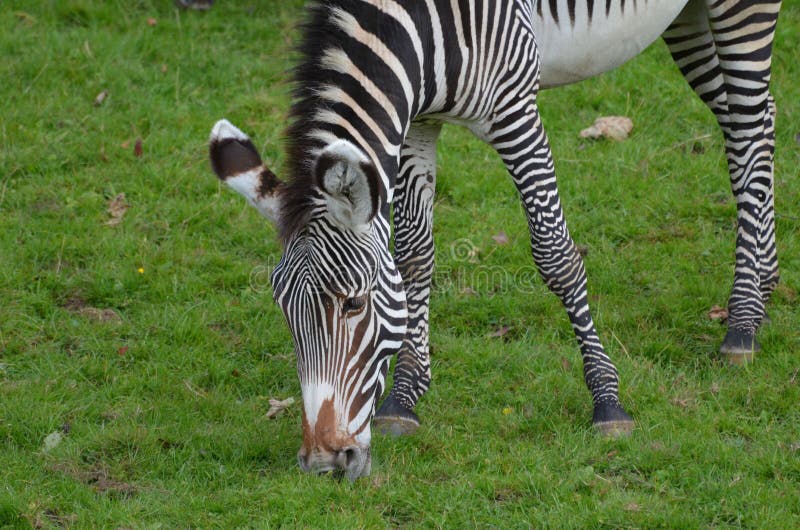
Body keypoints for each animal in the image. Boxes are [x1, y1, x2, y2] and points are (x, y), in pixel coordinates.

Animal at [208, 0, 781, 480]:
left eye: (353, 304)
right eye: (284, 310)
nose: (325, 461)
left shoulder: (514, 109)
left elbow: (554, 252)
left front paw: (607, 400)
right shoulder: (419, 118)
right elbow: (414, 254)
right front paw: (406, 396)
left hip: (742, 11)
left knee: (750, 128)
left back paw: (743, 321)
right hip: (688, 16)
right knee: (756, 121)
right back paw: (766, 280)